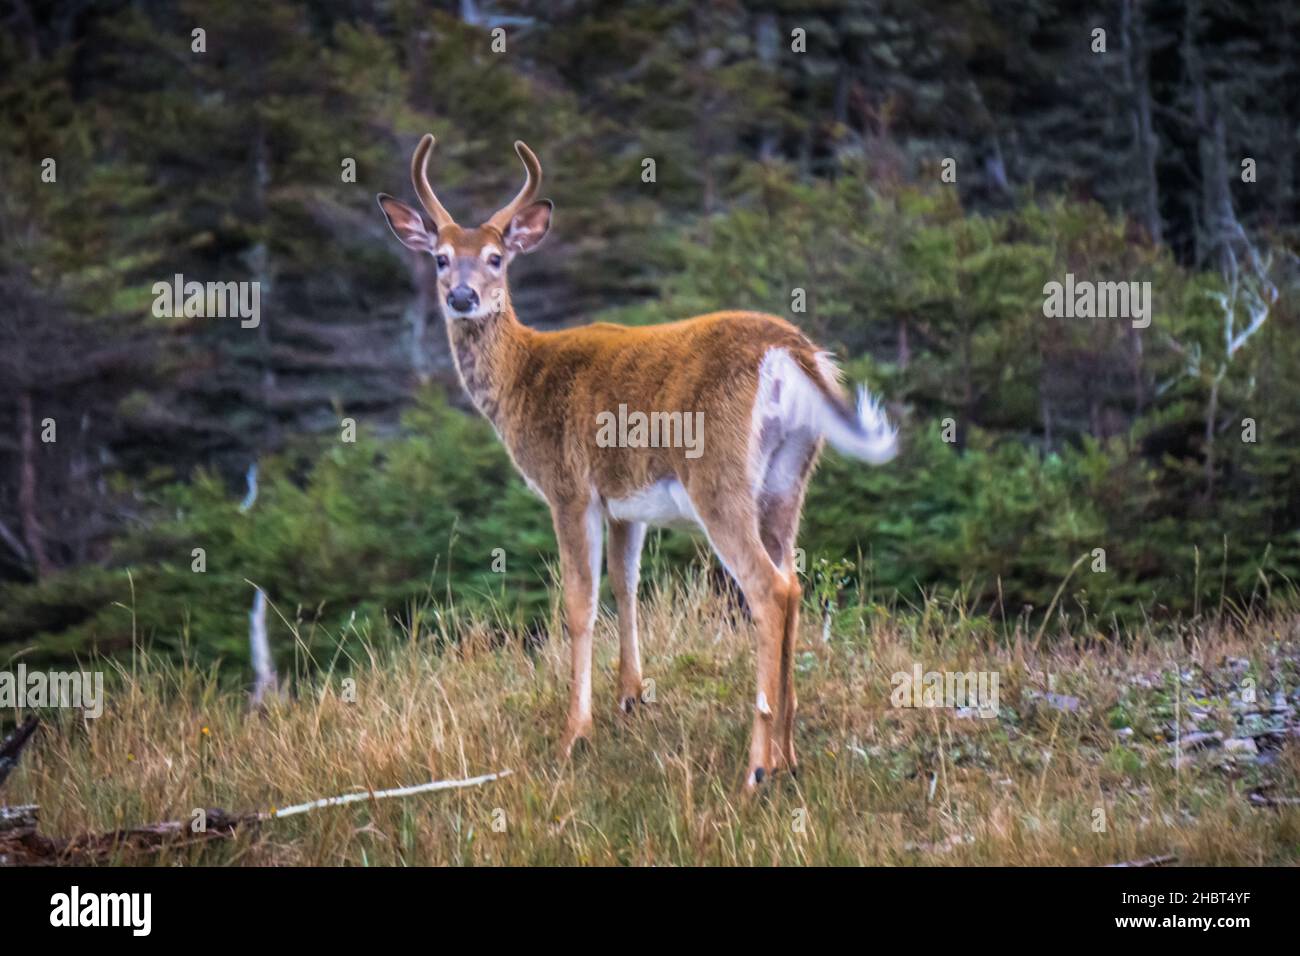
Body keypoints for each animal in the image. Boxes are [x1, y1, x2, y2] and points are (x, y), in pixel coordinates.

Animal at [377, 135, 898, 789]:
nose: (462, 297)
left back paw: (756, 767)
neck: (524, 378)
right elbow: (626, 585)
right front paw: (630, 697)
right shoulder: (625, 502)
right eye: (442, 258)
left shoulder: (568, 487)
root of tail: (791, 354)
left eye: (496, 258)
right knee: (796, 583)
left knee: (768, 588)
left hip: (718, 475)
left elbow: (579, 604)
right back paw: (788, 755)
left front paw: (574, 735)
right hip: (789, 477)